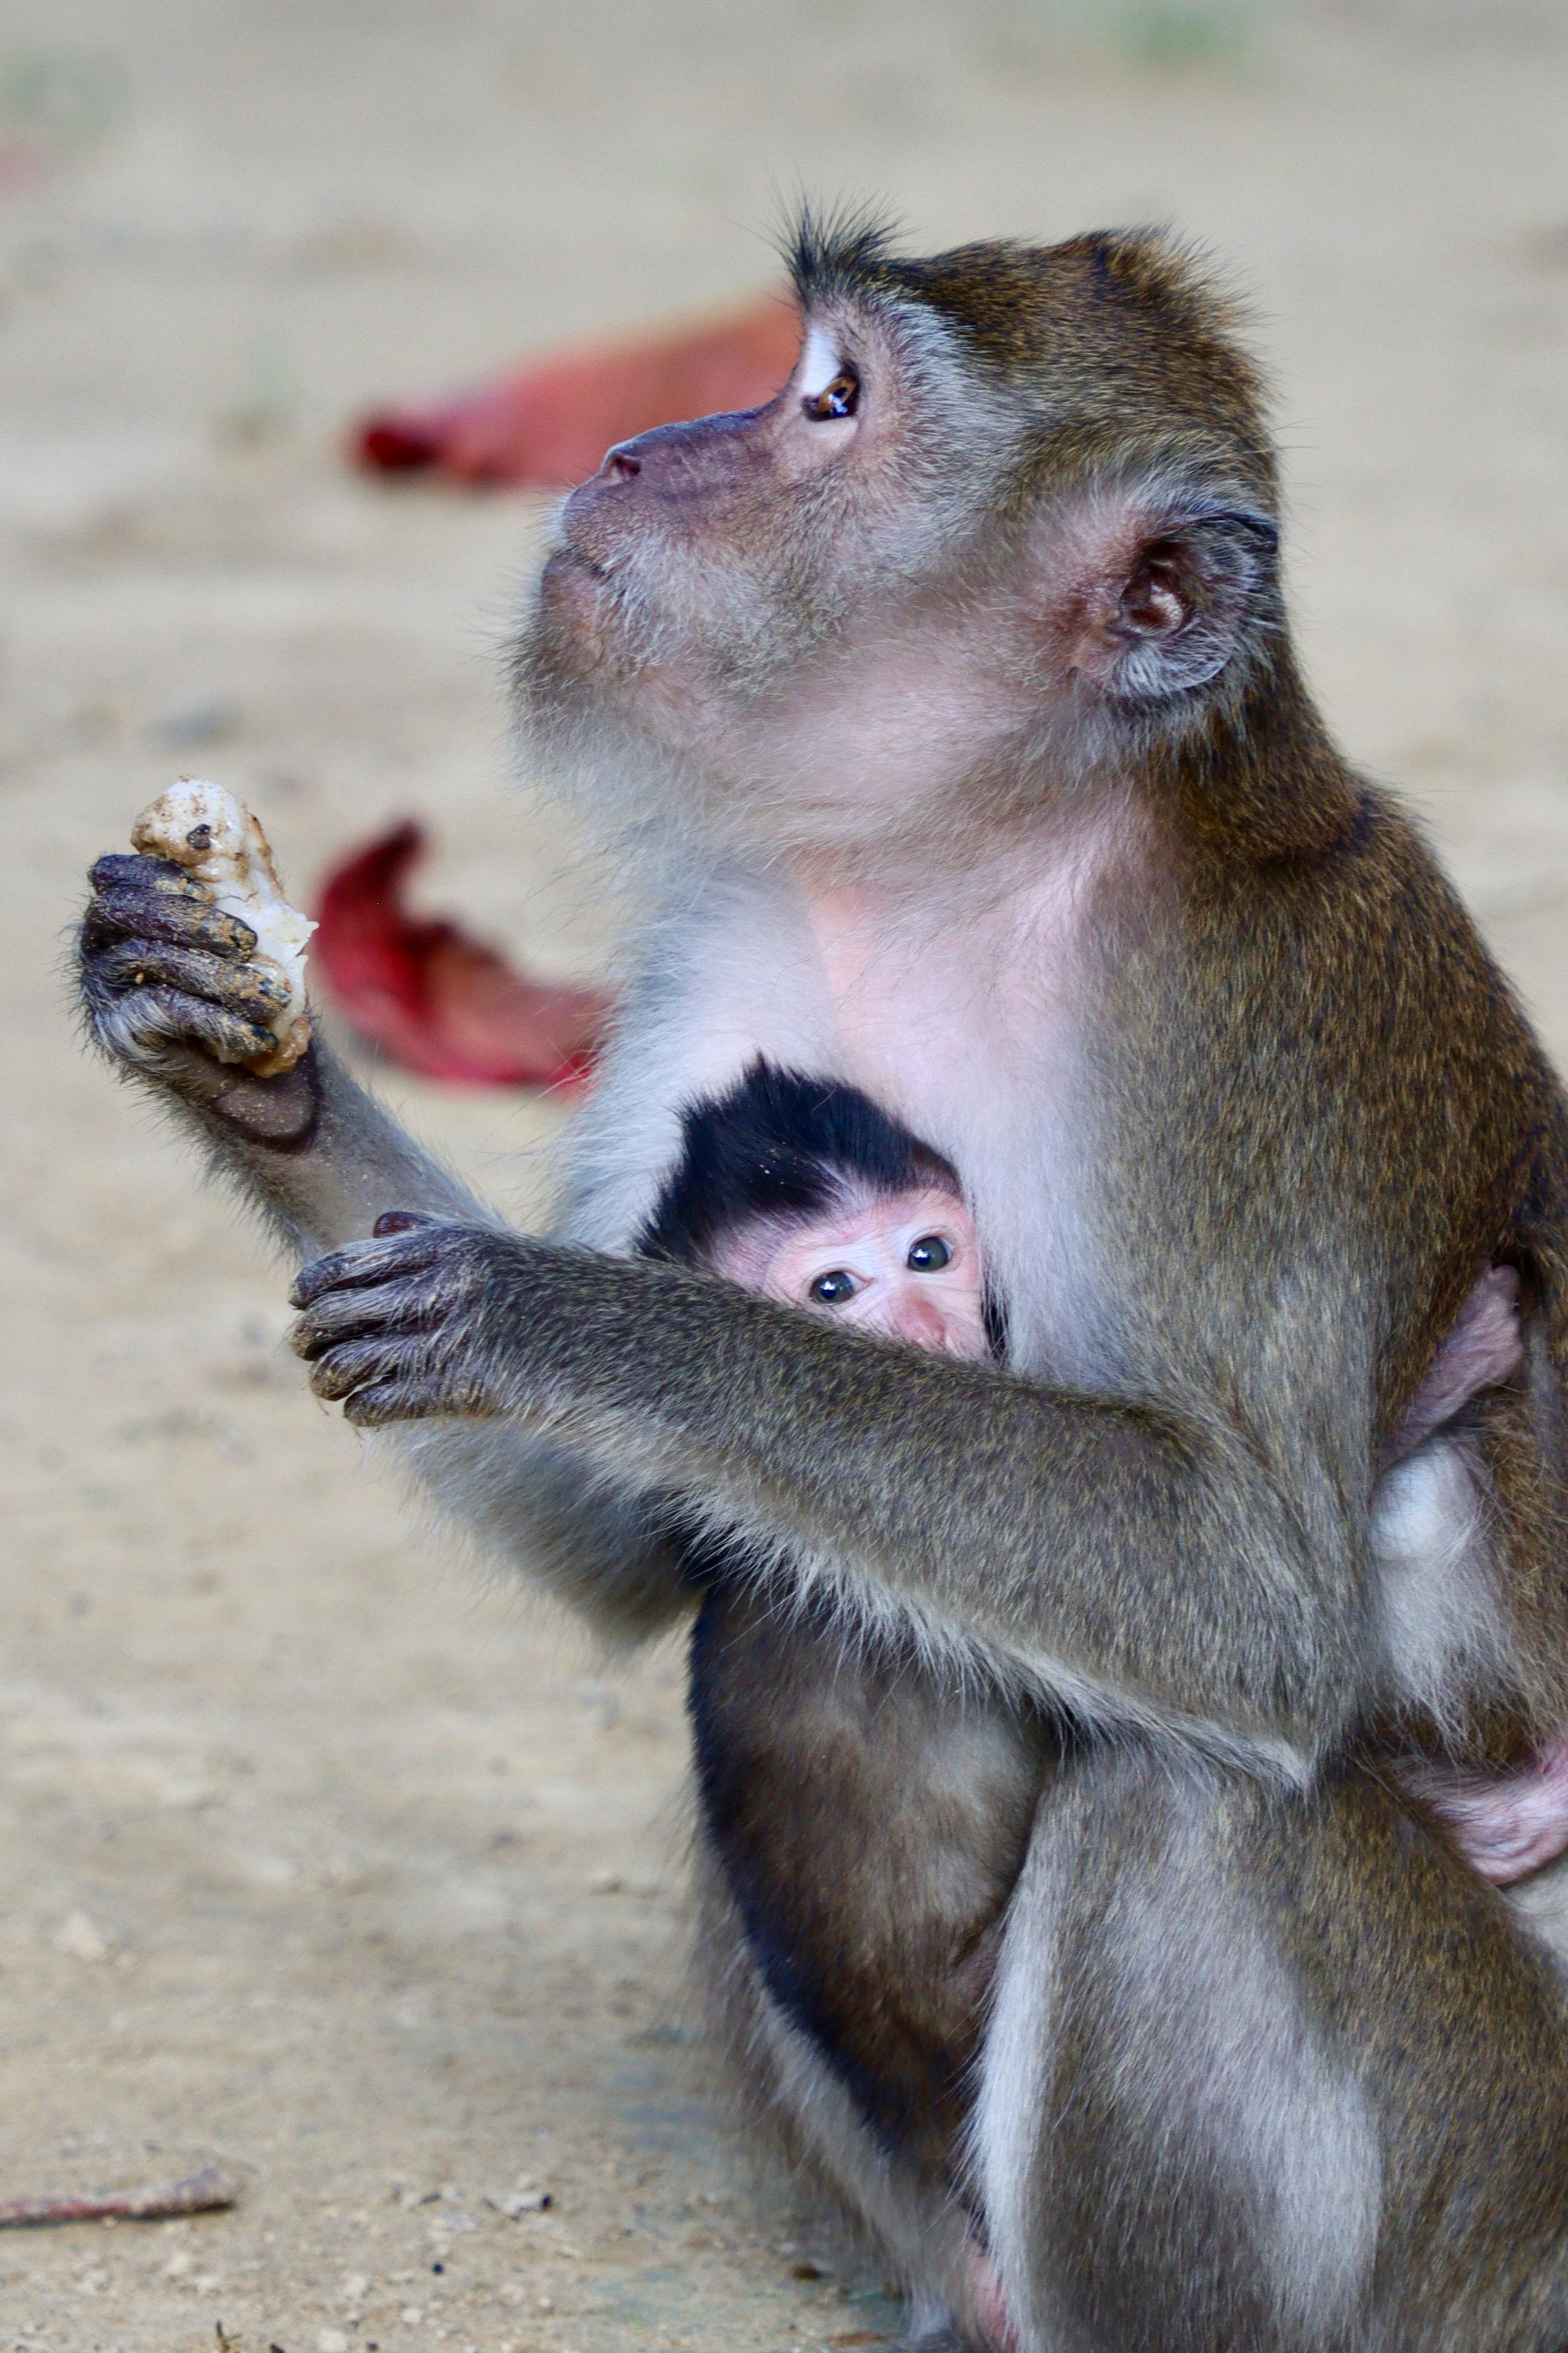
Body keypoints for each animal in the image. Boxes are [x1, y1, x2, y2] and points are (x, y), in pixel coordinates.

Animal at [76, 213, 1568, 2348]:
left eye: (829, 402)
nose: (633, 448)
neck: (973, 859)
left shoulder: (1254, 1038)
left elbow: (1254, 1605)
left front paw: (571, 1314)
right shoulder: (741, 938)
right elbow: (642, 1553)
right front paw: (229, 1046)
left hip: (1486, 2190)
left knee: (1182, 1792)